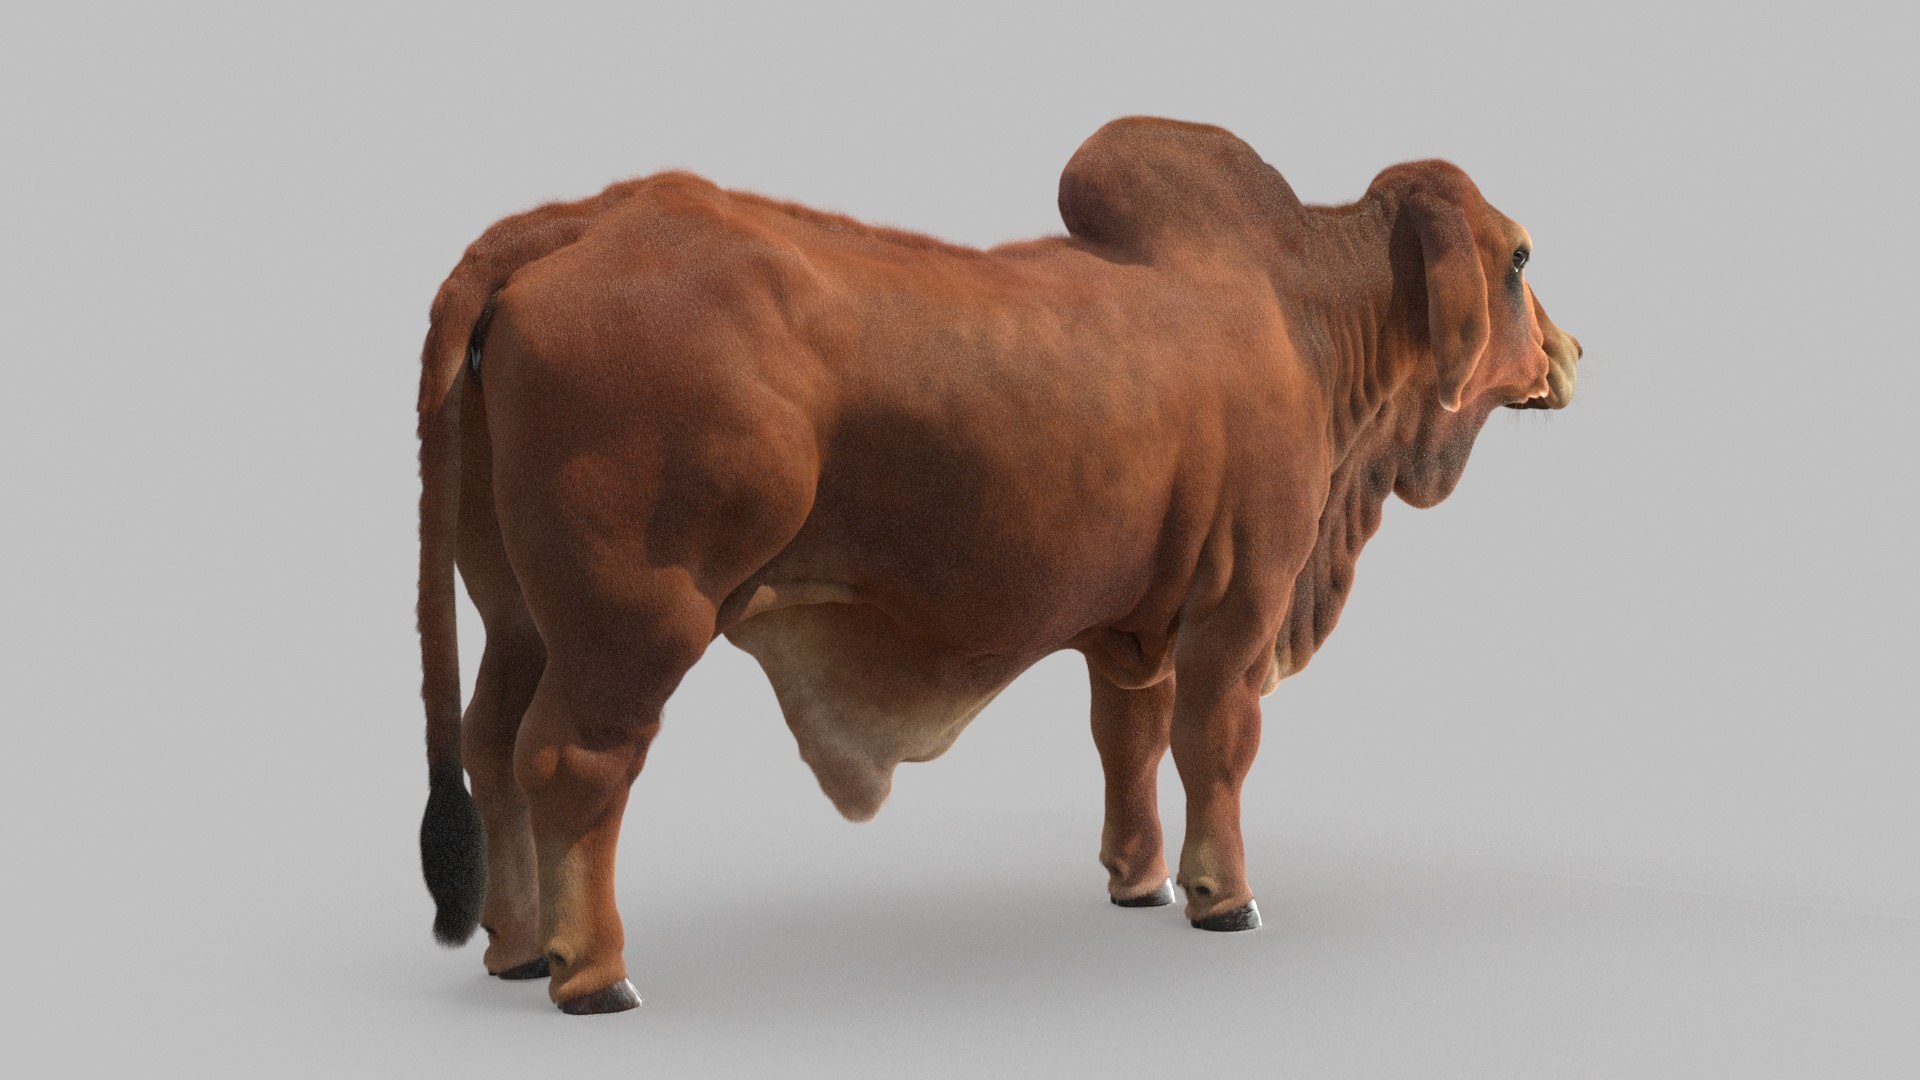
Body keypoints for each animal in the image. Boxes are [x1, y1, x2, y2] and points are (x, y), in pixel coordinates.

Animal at [414, 116, 1583, 1014]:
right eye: (1522, 259)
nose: (1573, 355)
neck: (1305, 315)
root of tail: (571, 224)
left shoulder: (1132, 629)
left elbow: (1128, 743)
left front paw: (1141, 882)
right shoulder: (1240, 606)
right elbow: (1215, 747)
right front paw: (1225, 897)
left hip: (518, 613)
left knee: (491, 745)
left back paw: (518, 951)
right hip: (633, 623)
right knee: (573, 762)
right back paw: (594, 975)